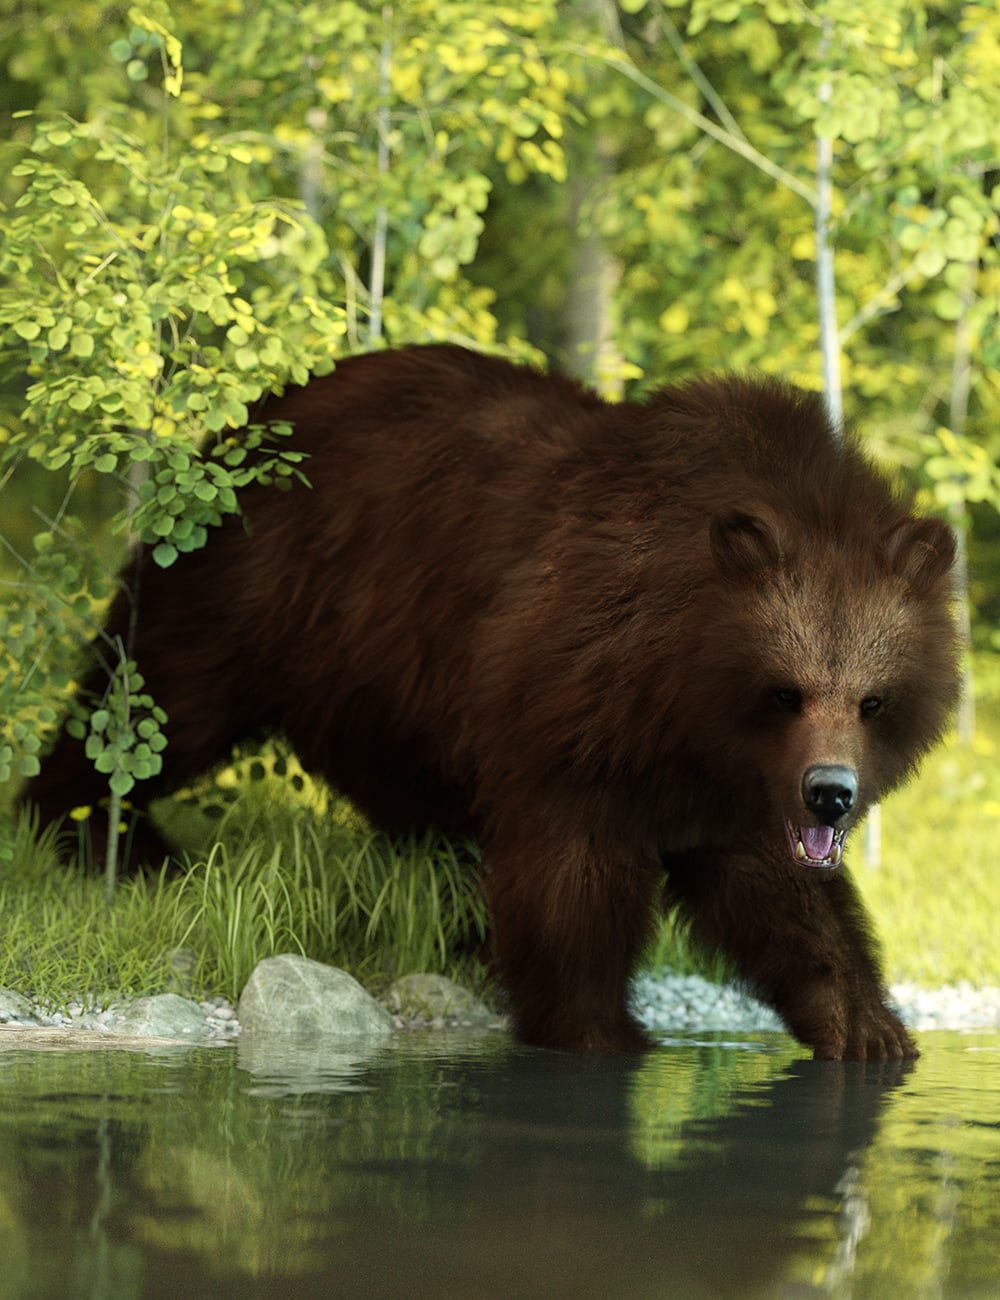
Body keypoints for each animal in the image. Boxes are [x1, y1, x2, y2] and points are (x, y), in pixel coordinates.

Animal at [22, 344, 960, 1057]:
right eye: (784, 690)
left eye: (874, 700)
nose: (831, 793)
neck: (679, 695)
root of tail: (252, 417)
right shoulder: (573, 699)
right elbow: (570, 877)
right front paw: (599, 1029)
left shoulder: (731, 790)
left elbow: (783, 898)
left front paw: (869, 1029)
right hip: (252, 581)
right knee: (154, 701)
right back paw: (102, 838)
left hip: (379, 687)